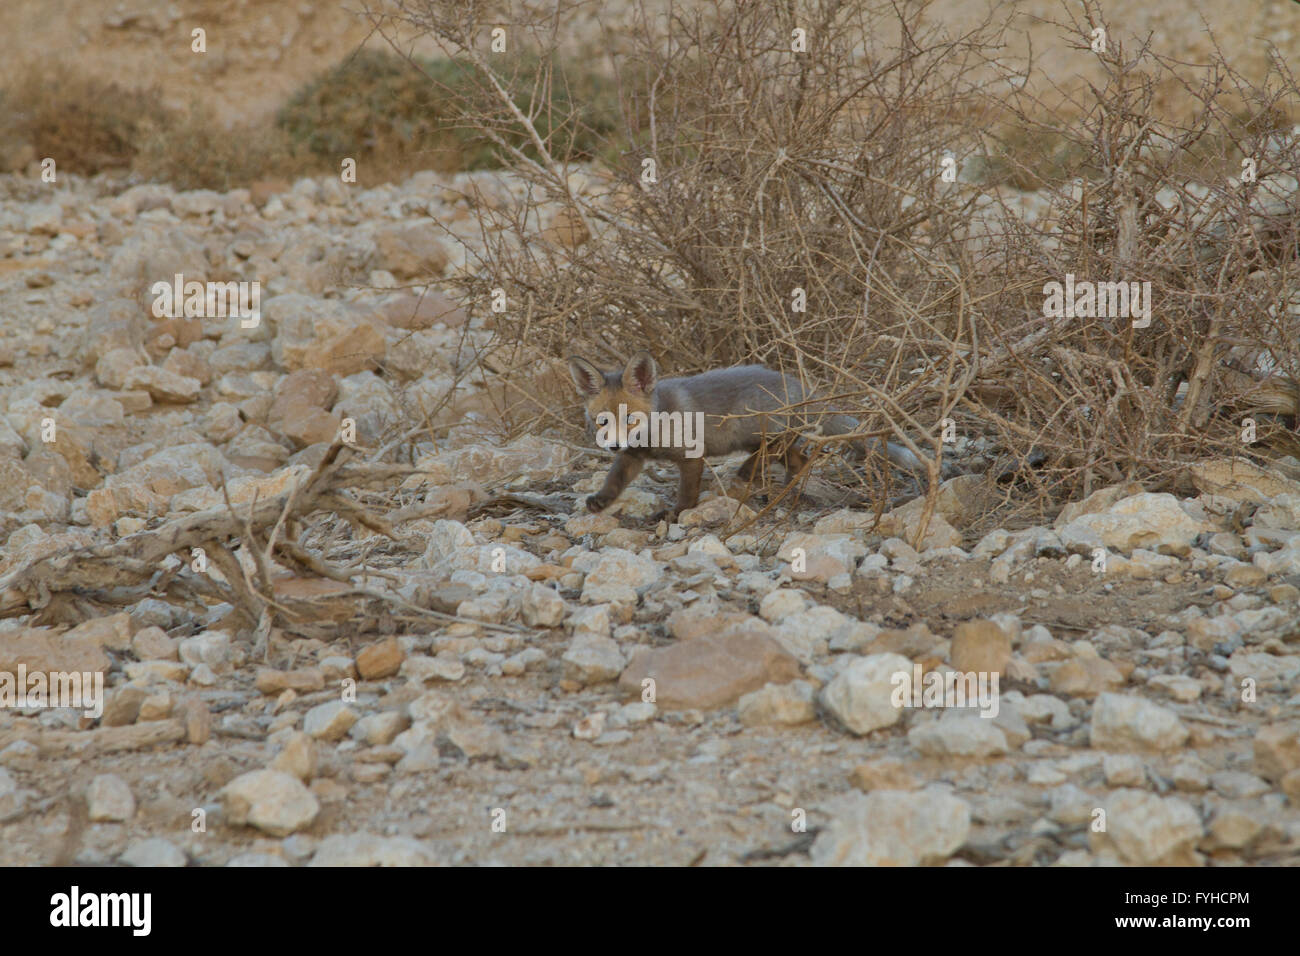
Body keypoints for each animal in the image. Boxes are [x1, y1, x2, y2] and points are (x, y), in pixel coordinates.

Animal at [567, 350, 931, 522]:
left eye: (631, 419)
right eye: (603, 421)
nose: (613, 443)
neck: (658, 422)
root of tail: (803, 386)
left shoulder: (691, 456)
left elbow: (687, 494)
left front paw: (675, 514)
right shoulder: (631, 455)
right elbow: (614, 479)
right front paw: (602, 500)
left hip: (759, 429)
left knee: (777, 453)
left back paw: (752, 475)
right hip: (771, 439)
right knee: (797, 460)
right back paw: (785, 493)